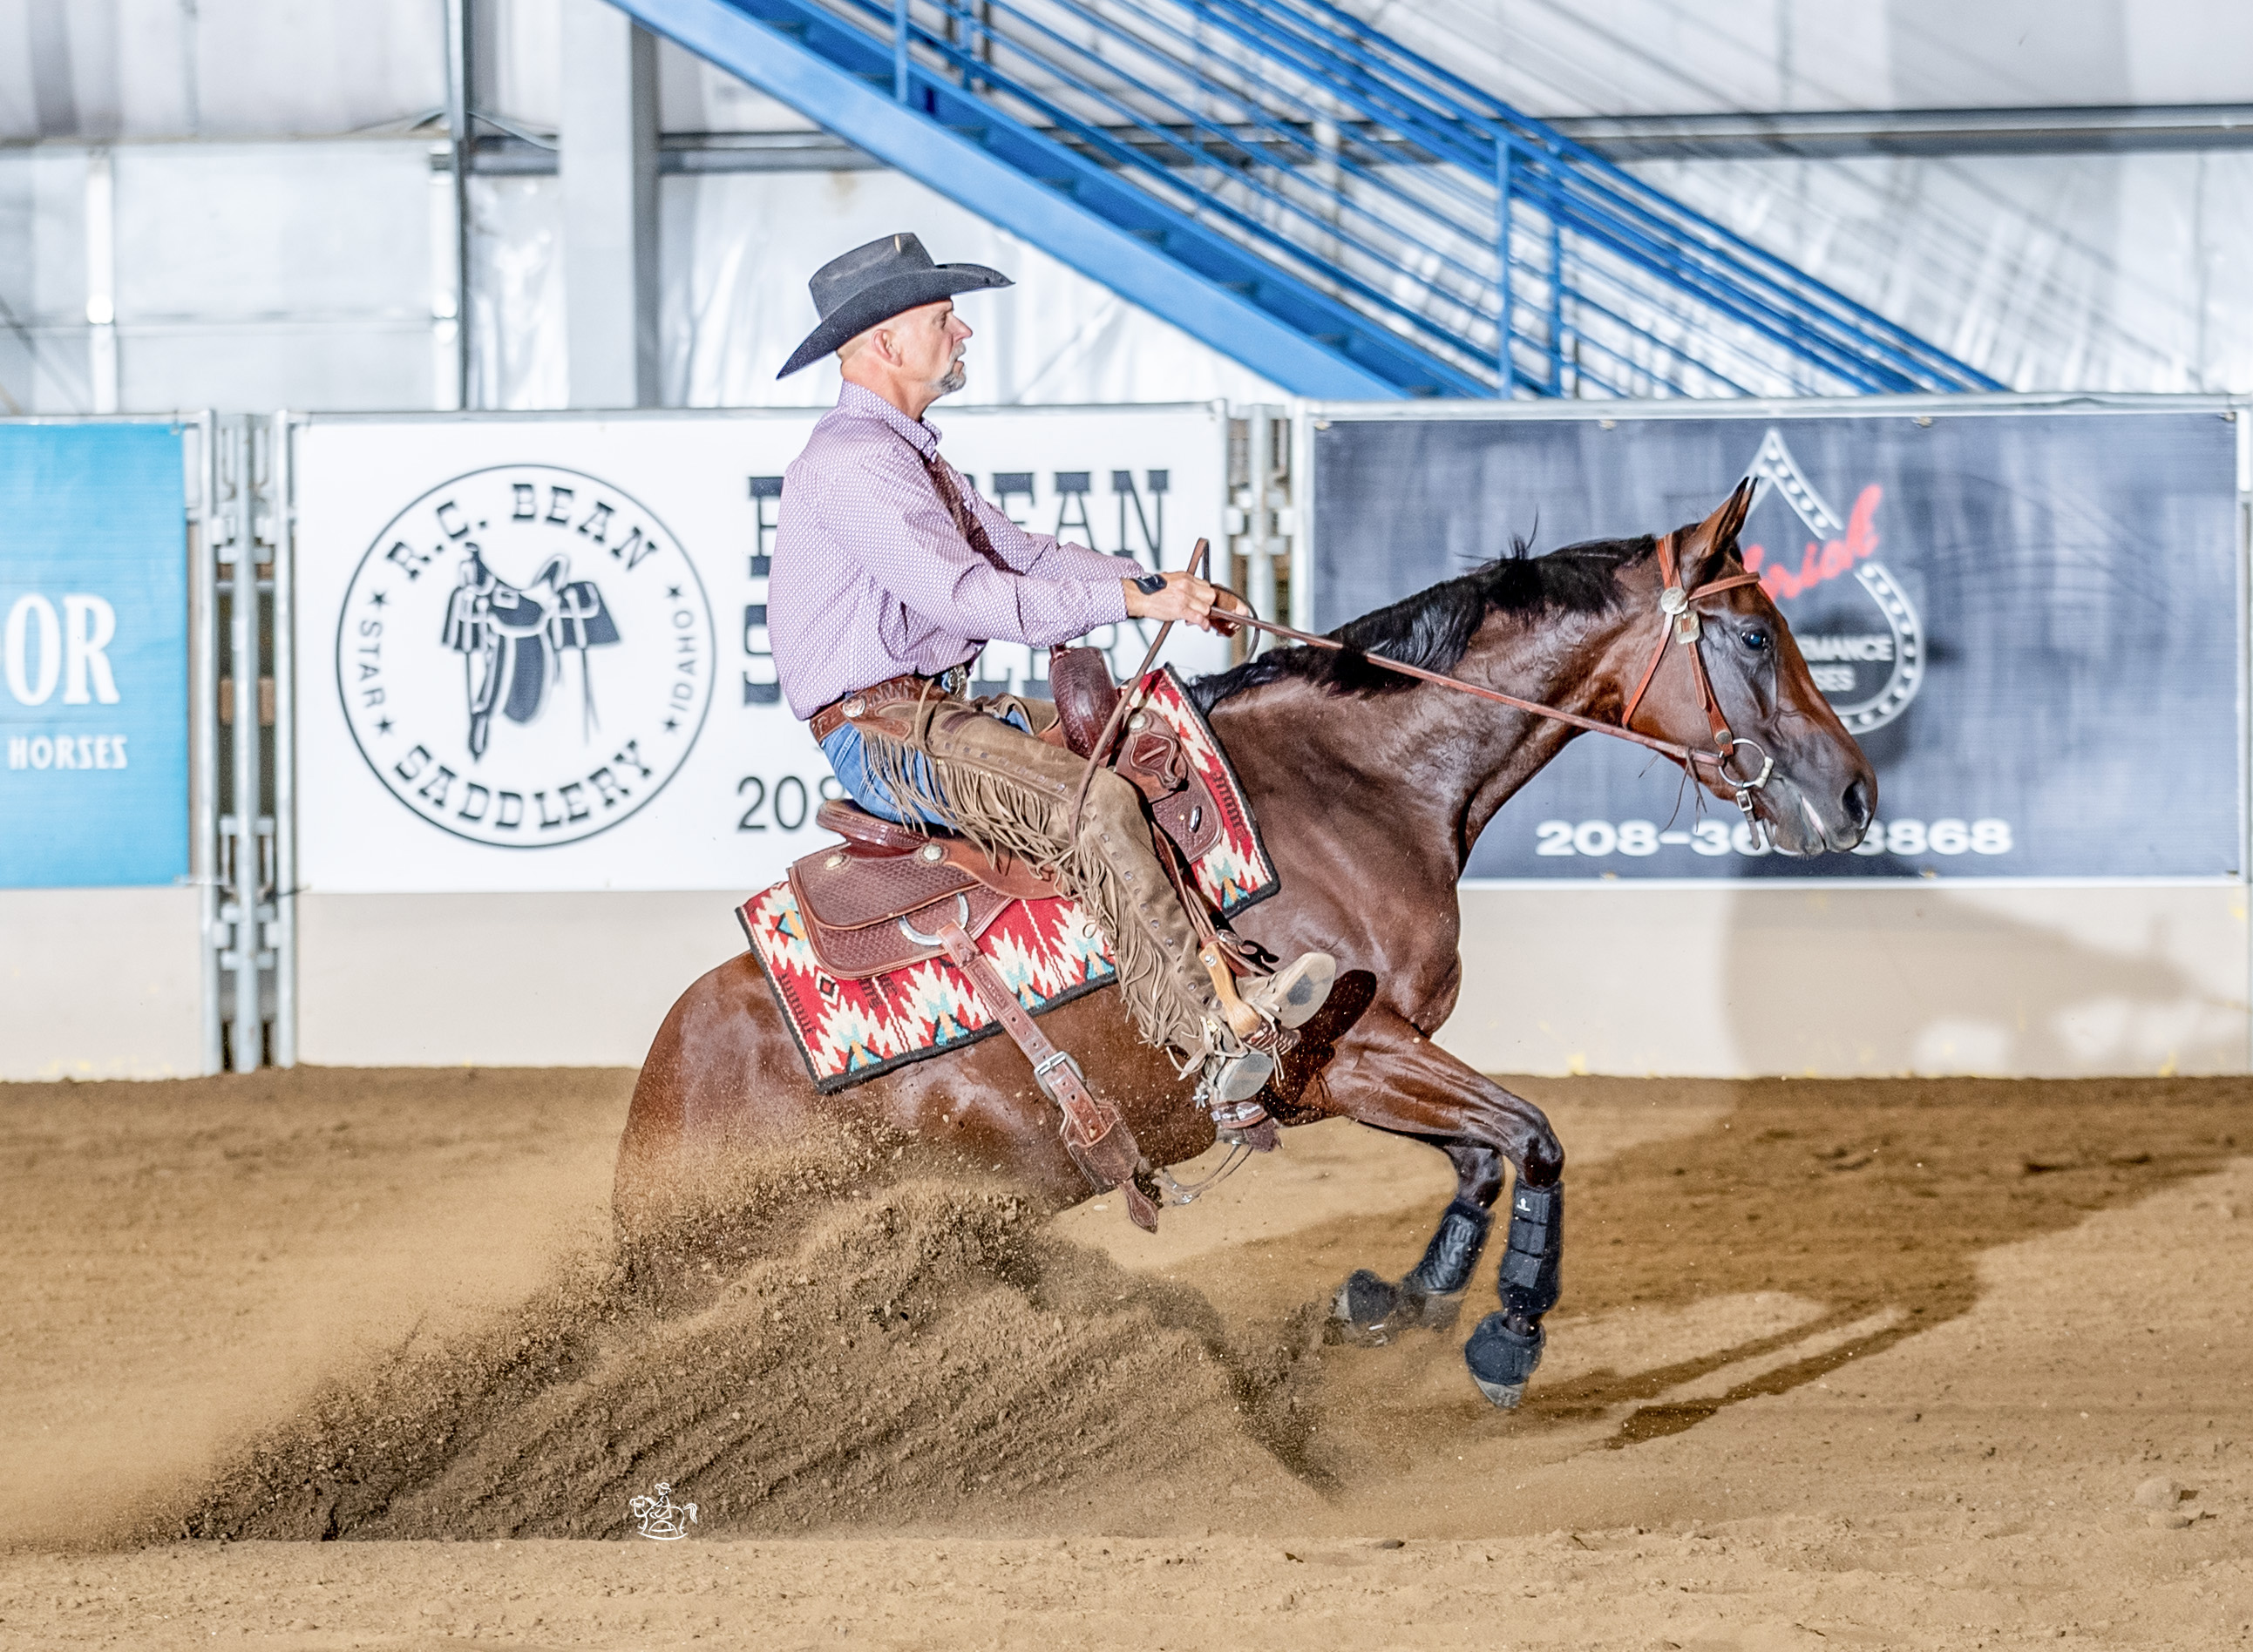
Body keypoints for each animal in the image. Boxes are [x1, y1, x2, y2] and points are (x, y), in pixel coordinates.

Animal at [614, 482, 1876, 1405]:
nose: (1855, 794)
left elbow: (1482, 1159)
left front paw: (1391, 1304)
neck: (1359, 785)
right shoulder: (1351, 1048)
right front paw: (1507, 1336)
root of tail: (661, 1088)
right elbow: (1535, 1137)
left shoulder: (1342, 1073)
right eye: (1753, 634)